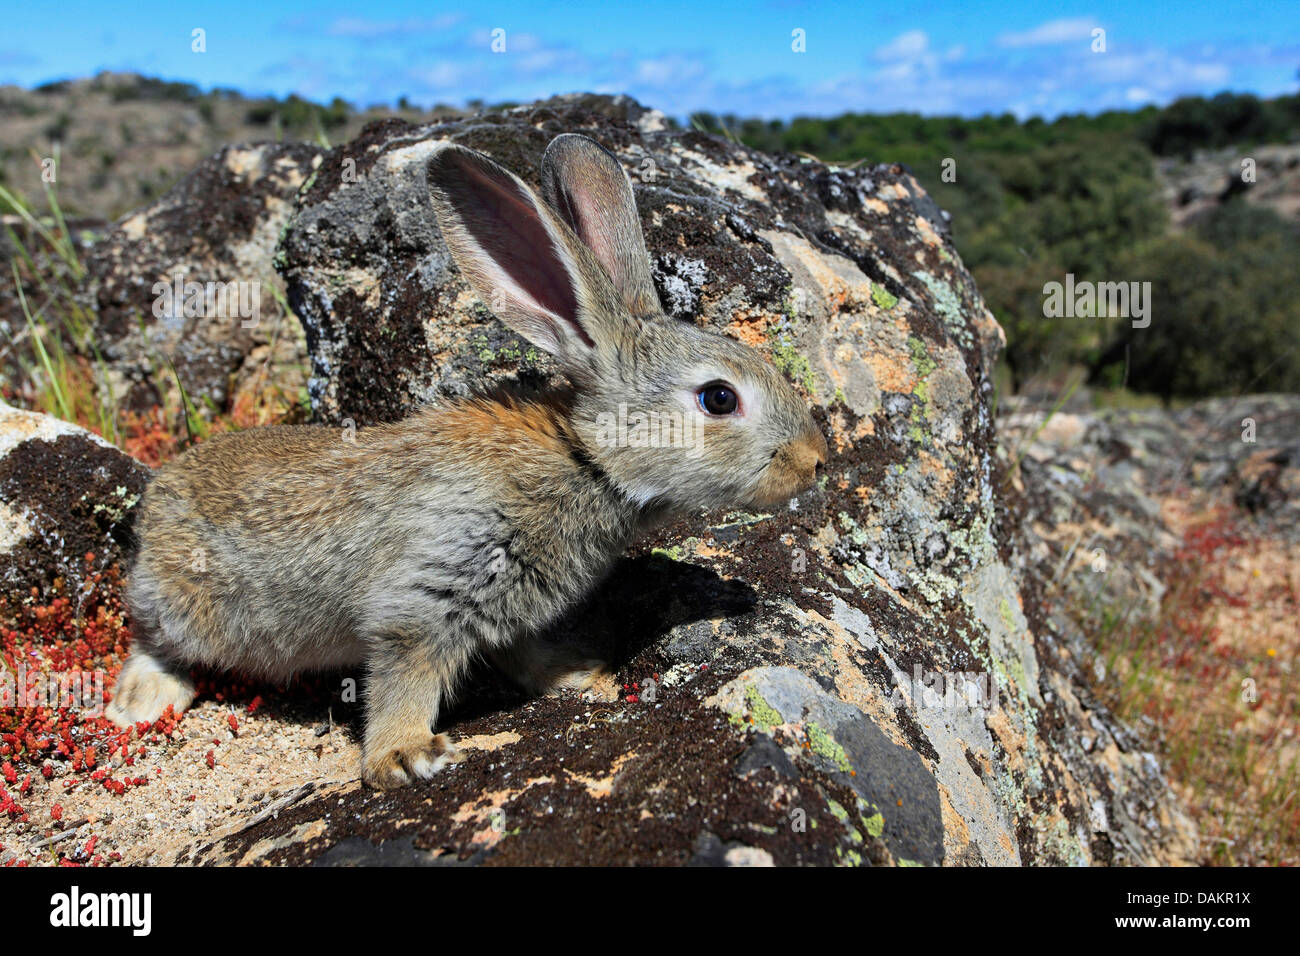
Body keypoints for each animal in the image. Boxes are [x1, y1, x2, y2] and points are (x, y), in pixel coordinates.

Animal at [107, 133, 828, 789]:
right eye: (718, 398)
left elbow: (528, 651)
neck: (585, 457)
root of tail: (155, 503)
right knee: (154, 638)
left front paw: (581, 675)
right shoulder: (427, 592)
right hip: (189, 607)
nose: (816, 461)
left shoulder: (513, 606)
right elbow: (405, 675)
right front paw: (403, 757)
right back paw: (141, 702)